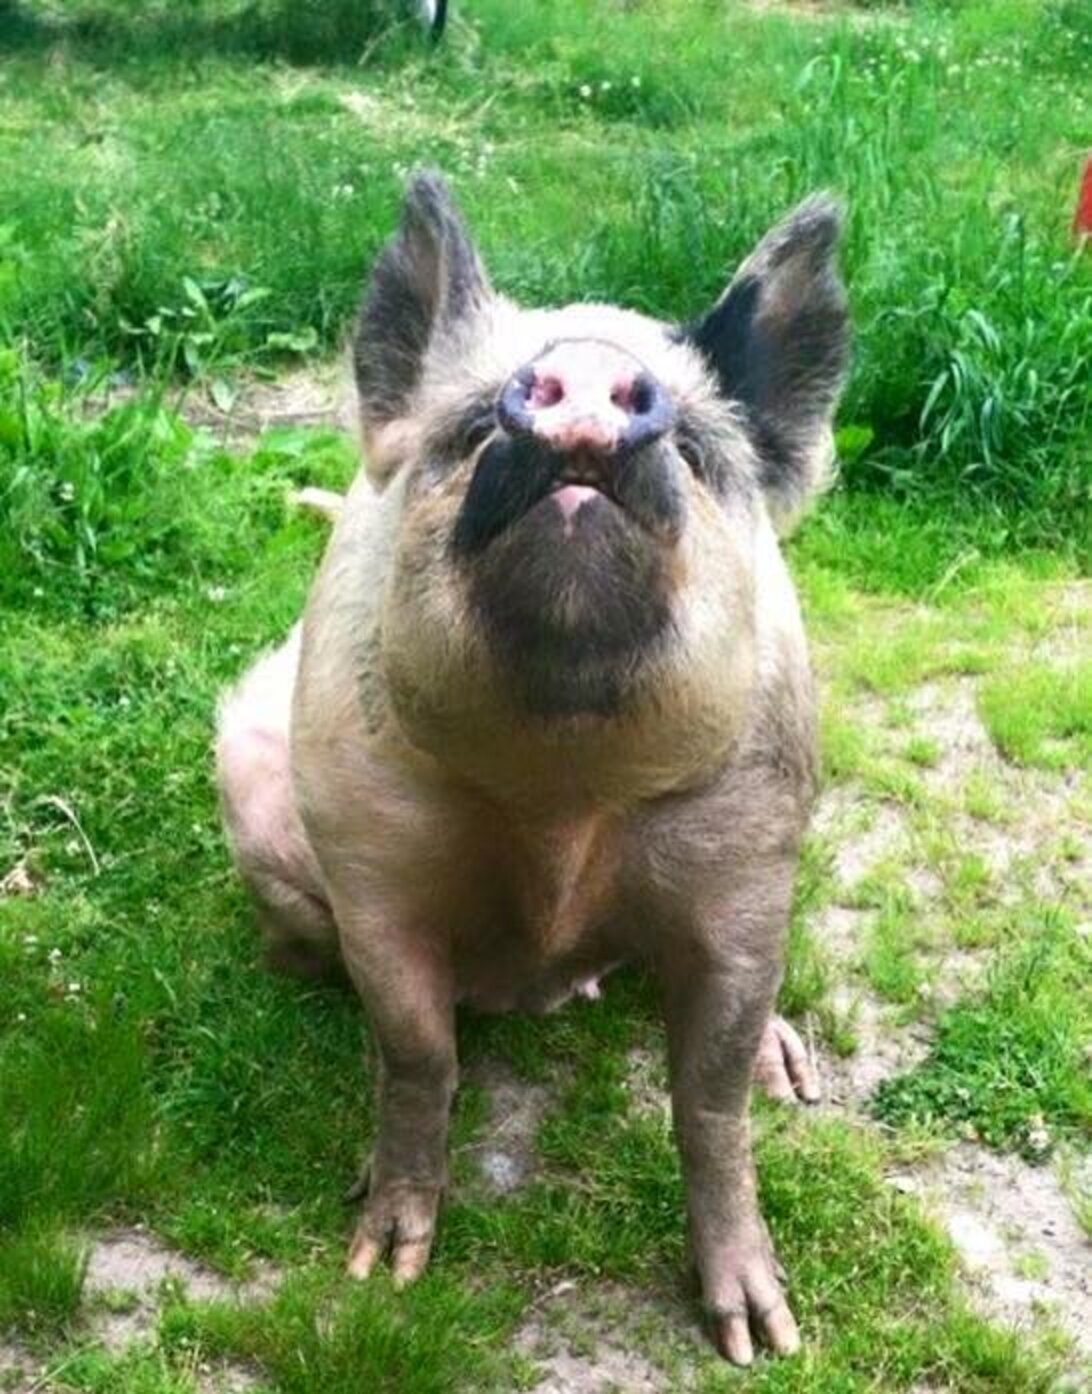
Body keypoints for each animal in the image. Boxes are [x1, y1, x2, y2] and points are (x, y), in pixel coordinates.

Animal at [215, 172, 848, 1365]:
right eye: (469, 429)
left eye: (696, 452)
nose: (589, 371)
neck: (561, 794)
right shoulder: (371, 861)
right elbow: (418, 1051)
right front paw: (380, 1266)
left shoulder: (748, 864)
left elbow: (710, 1100)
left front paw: (763, 1338)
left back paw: (794, 1073)